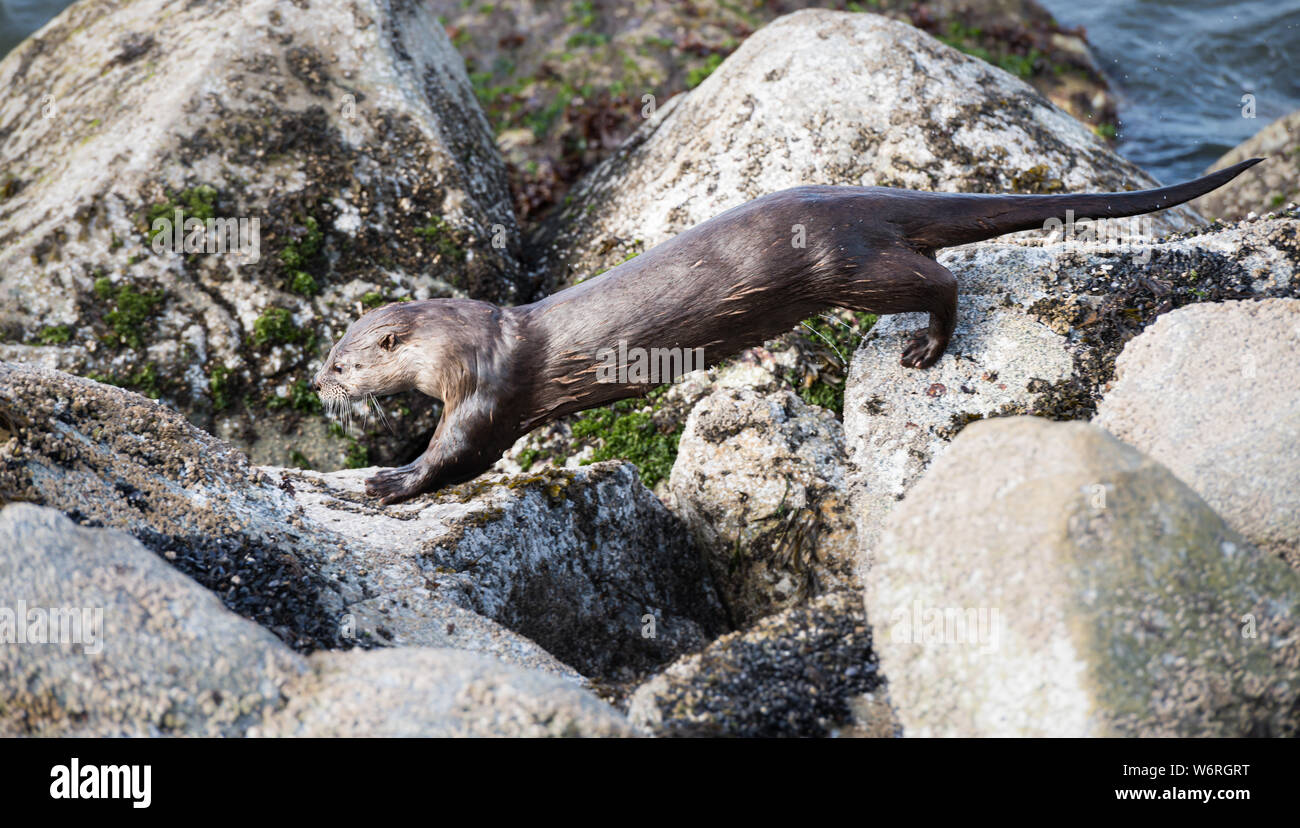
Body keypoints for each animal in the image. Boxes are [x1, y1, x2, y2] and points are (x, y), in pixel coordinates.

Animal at [312, 158, 1263, 504]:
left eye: (341, 360)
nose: (320, 384)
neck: (468, 345)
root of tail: (856, 195)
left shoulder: (487, 390)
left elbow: (459, 457)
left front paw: (383, 483)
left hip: (849, 268)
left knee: (941, 279)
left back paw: (927, 346)